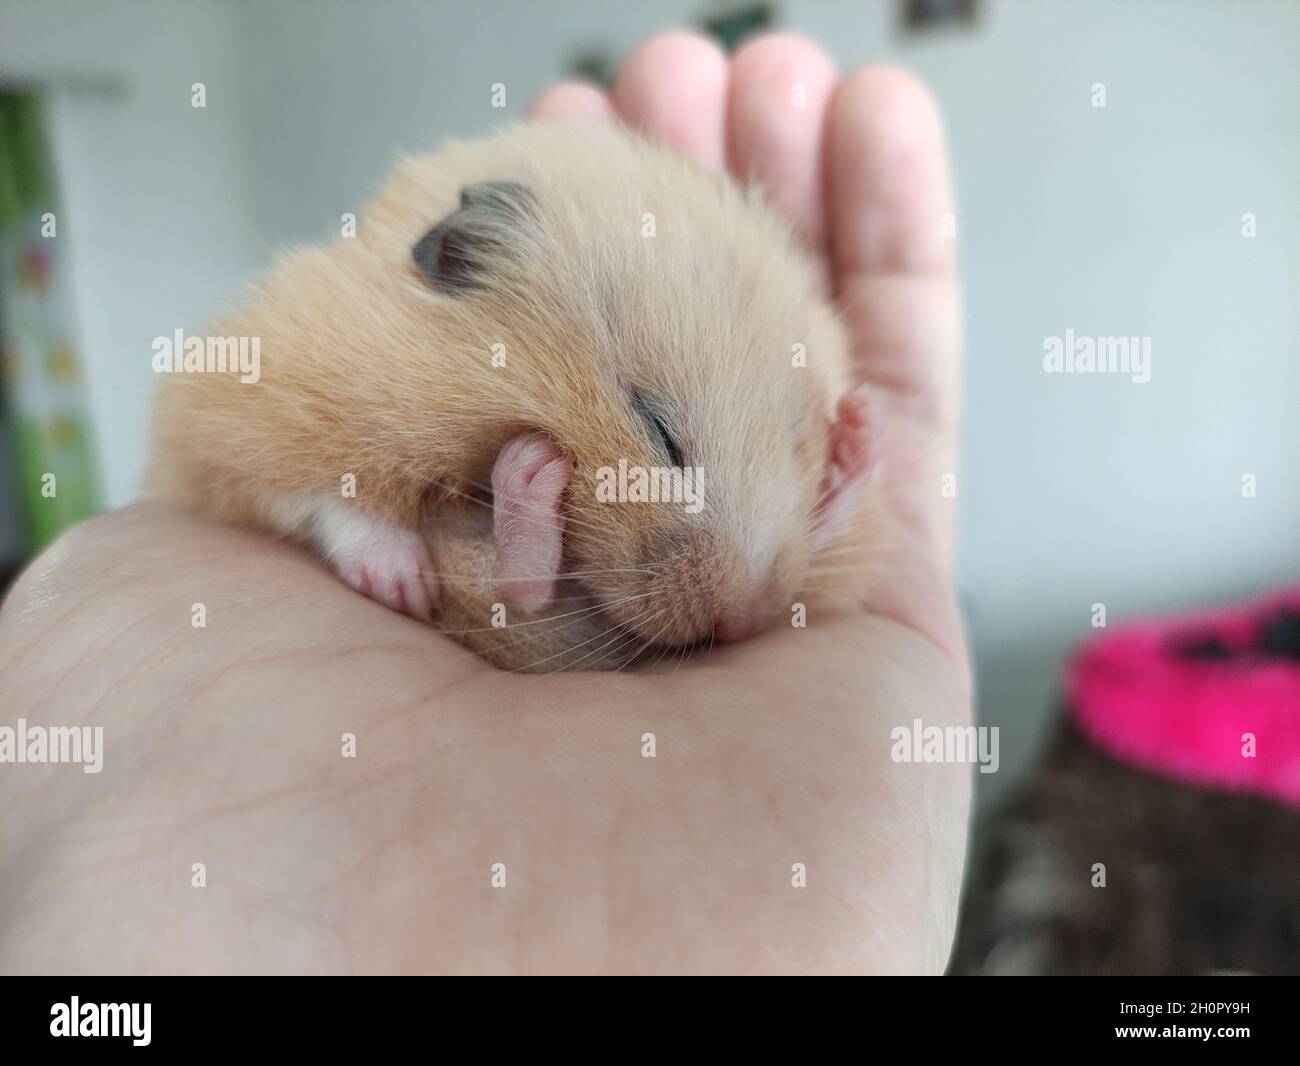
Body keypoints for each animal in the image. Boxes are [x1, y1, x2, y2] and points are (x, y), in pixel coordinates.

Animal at [149, 122, 881, 671]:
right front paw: (402, 582)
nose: (744, 621)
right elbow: (316, 494)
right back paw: (526, 480)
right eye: (657, 429)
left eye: (797, 441)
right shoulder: (242, 402)